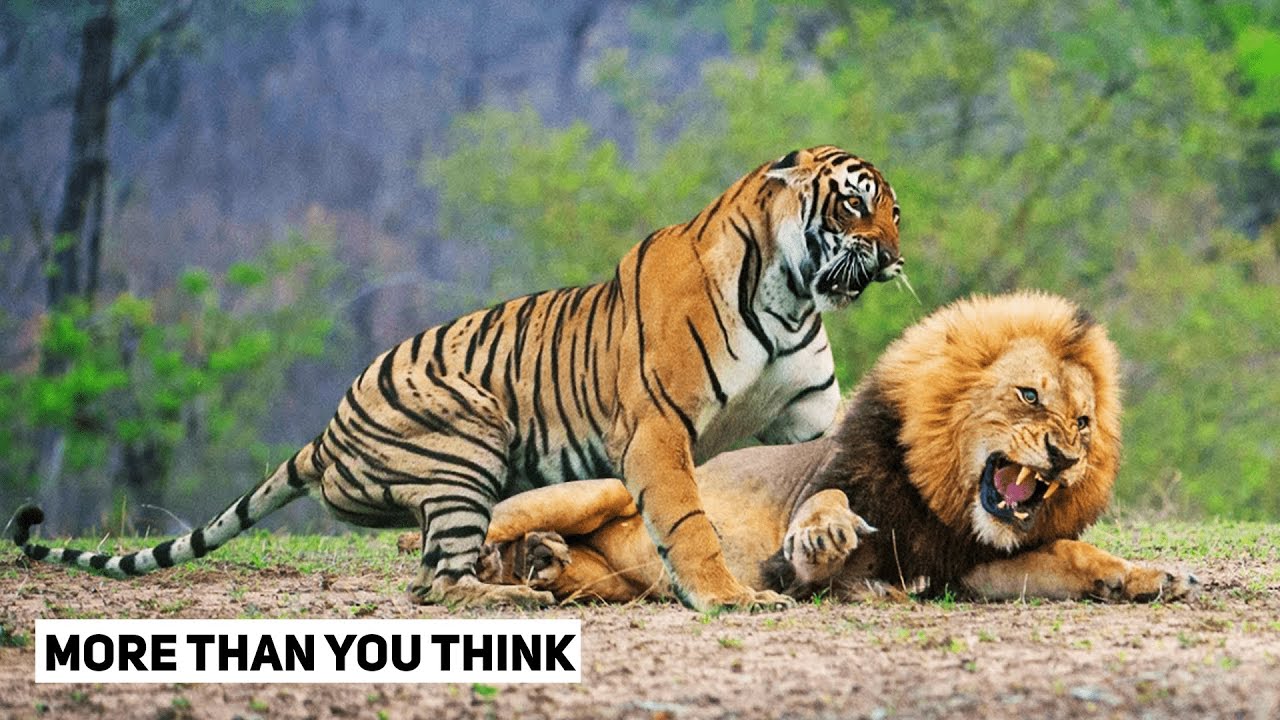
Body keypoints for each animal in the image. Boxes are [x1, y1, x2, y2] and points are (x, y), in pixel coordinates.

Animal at [11, 145, 904, 611]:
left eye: (894, 212)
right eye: (856, 204)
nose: (895, 259)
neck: (790, 293)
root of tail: (325, 431)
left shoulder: (811, 416)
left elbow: (834, 473)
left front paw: (829, 527)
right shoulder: (655, 428)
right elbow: (687, 522)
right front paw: (729, 597)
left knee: (438, 575)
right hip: (466, 438)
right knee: (435, 586)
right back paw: (523, 597)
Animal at [397, 292, 1200, 603]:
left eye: (1085, 422)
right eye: (1029, 397)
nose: (1065, 457)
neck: (941, 497)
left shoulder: (966, 567)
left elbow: (1074, 556)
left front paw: (1148, 576)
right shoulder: (822, 509)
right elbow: (828, 504)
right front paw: (828, 537)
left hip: (619, 579)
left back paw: (541, 562)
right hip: (602, 488)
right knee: (459, 545)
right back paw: (490, 565)